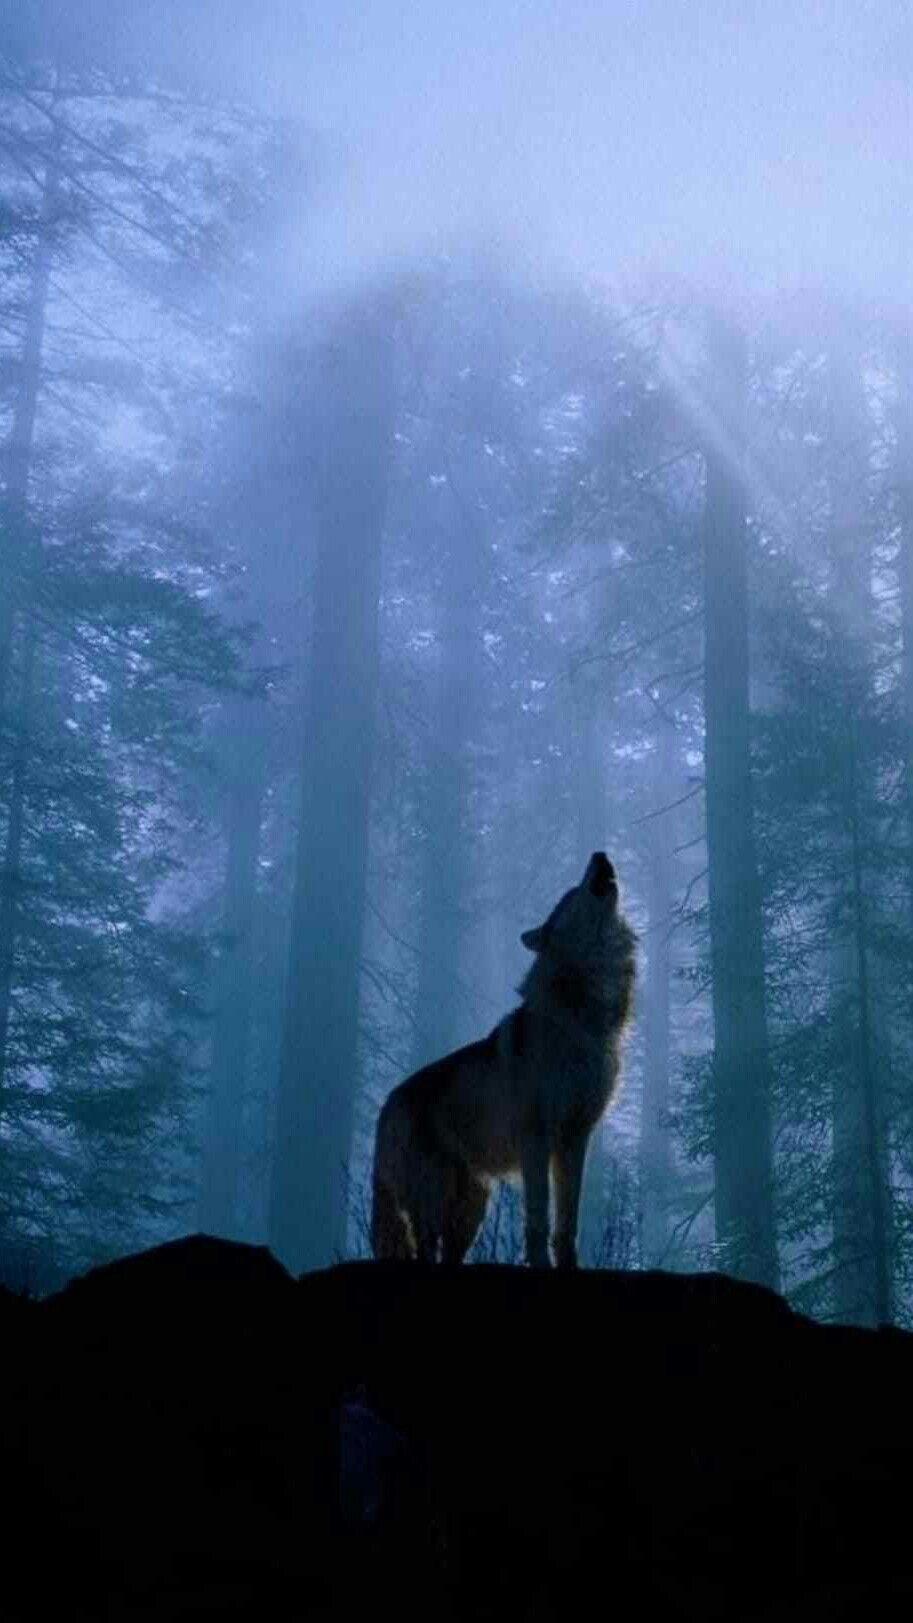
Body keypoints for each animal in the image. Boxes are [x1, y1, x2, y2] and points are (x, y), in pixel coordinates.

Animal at [371, 852, 636, 1268]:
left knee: (448, 1256)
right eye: (572, 892)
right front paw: (541, 1265)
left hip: (471, 1209)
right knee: (424, 1251)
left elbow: (568, 1223)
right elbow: (538, 1220)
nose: (600, 854)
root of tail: (386, 1106)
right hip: (432, 1202)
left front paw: (569, 1267)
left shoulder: (576, 1139)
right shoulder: (536, 1139)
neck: (583, 1017)